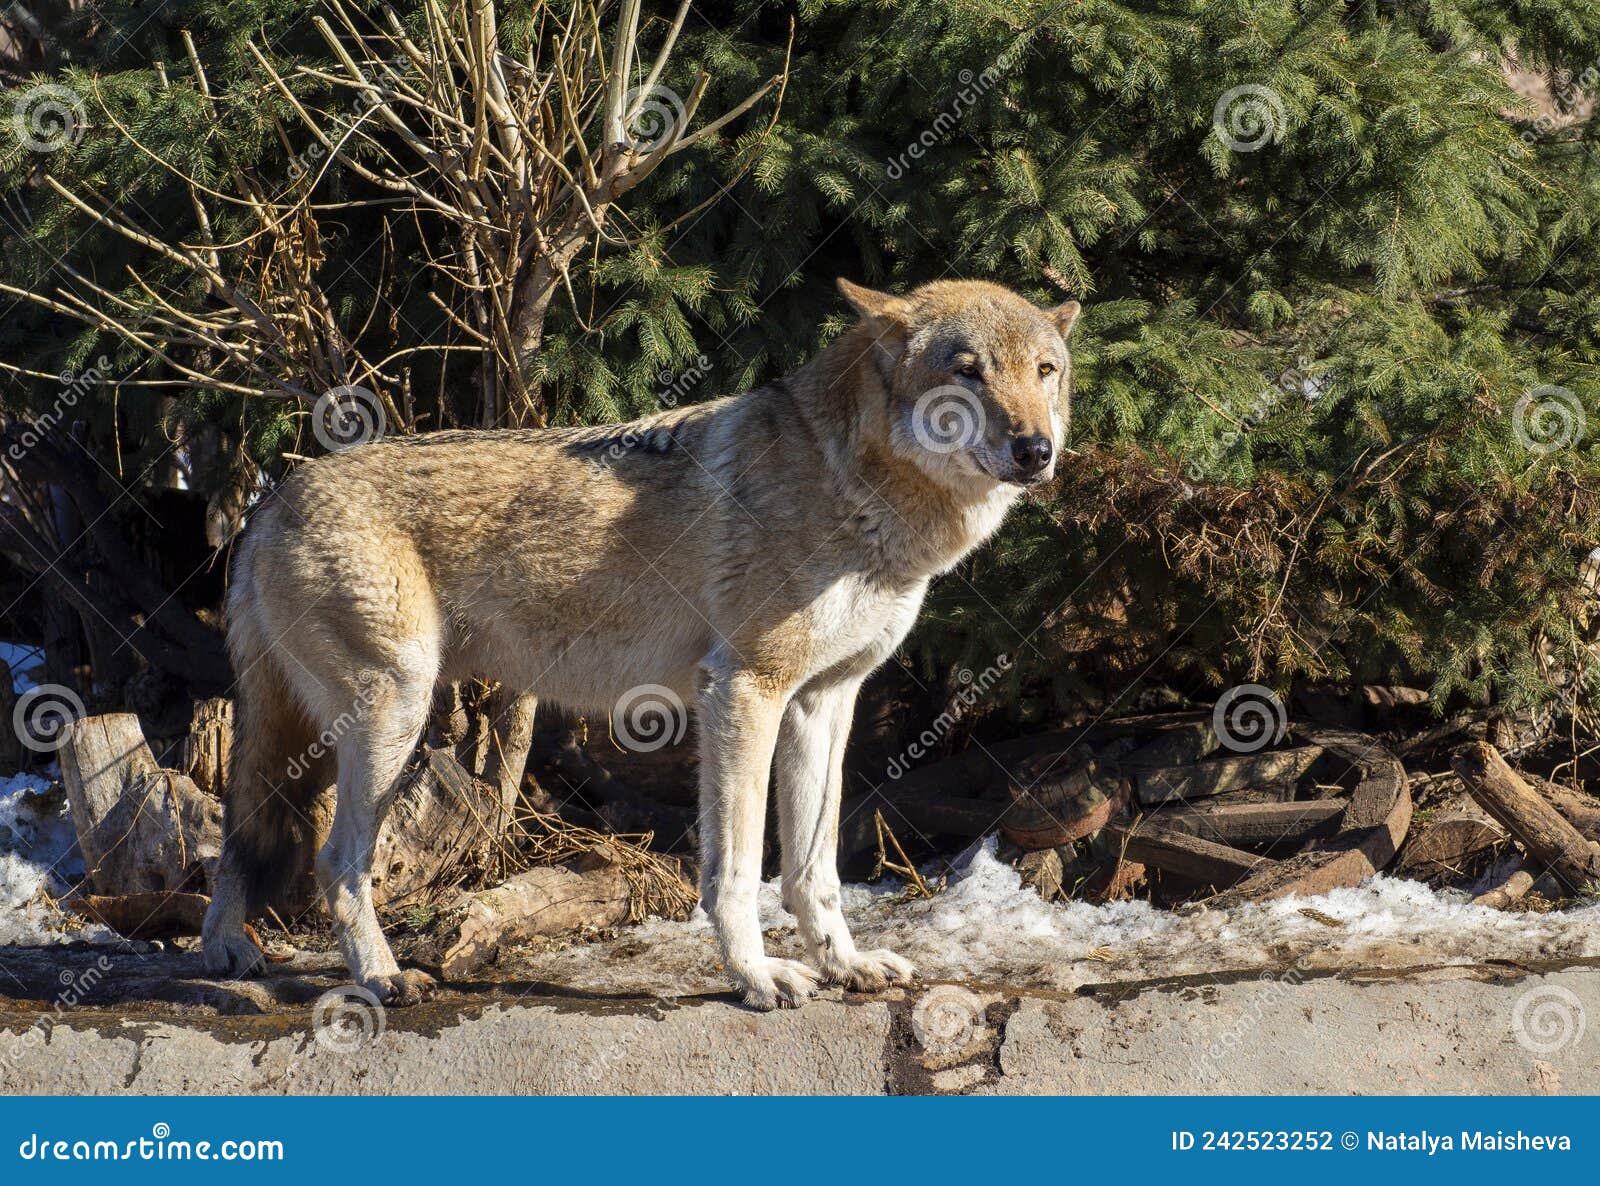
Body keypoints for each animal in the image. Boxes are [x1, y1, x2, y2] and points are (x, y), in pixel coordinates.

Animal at [202, 277, 1082, 1009]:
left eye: (1044, 371)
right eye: (967, 371)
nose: (1036, 451)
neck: (855, 488)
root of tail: (270, 501)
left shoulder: (824, 703)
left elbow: (814, 870)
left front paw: (845, 965)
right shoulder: (744, 693)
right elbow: (735, 871)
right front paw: (756, 978)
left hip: (315, 737)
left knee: (238, 836)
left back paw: (229, 955)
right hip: (394, 716)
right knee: (334, 863)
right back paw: (382, 977)